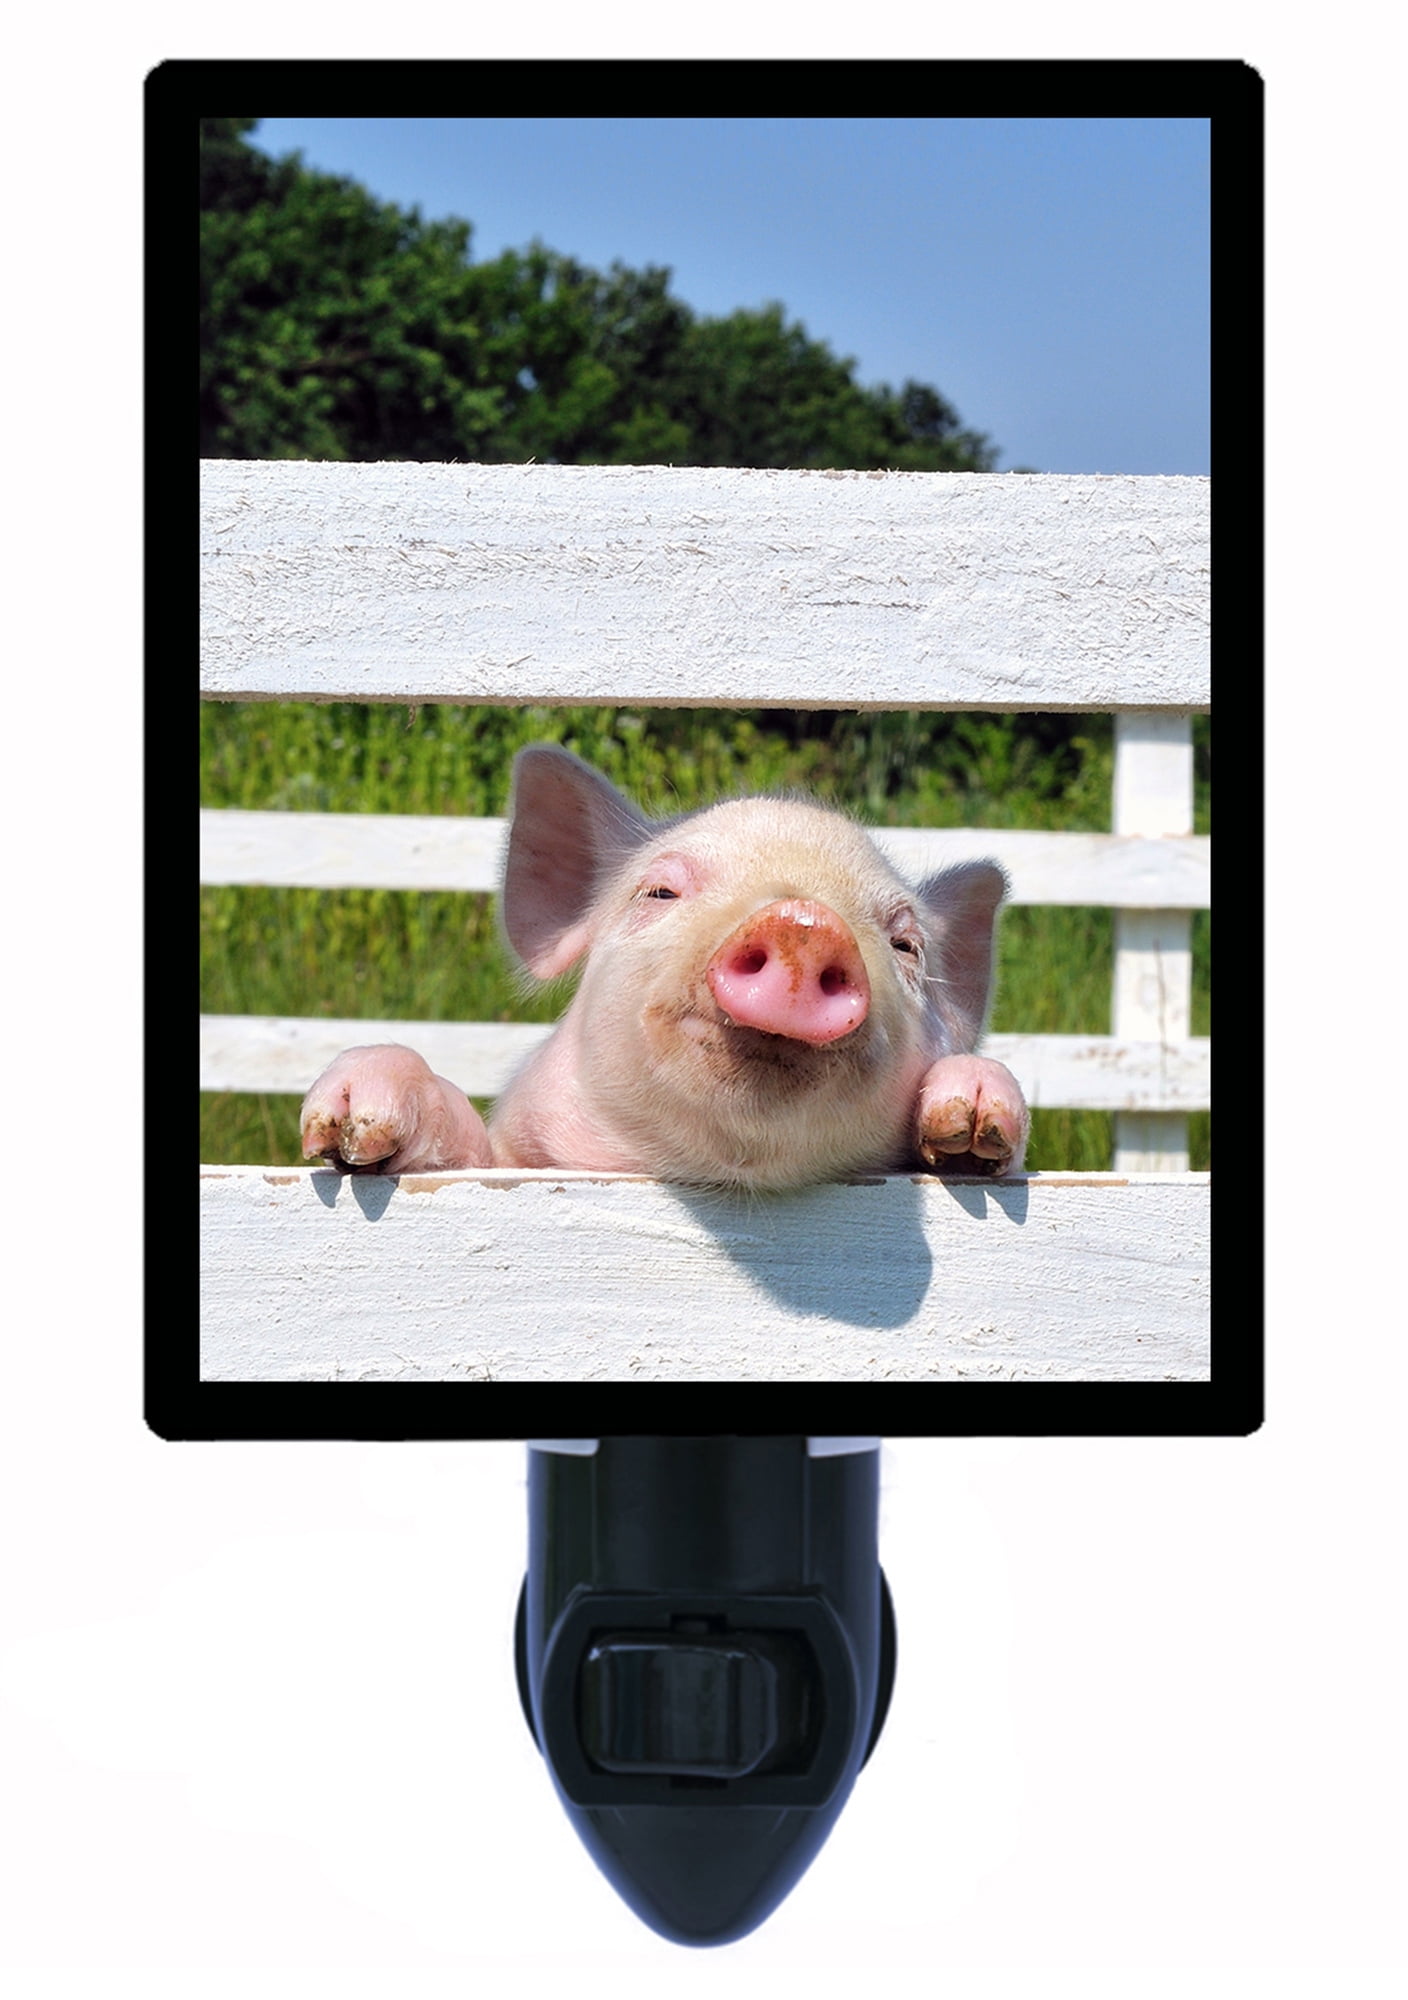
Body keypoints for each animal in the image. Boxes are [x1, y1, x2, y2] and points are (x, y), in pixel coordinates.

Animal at [300, 743, 1029, 1191]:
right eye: (659, 892)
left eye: (905, 944)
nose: (803, 921)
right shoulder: (513, 1157)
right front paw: (351, 1120)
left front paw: (973, 1113)